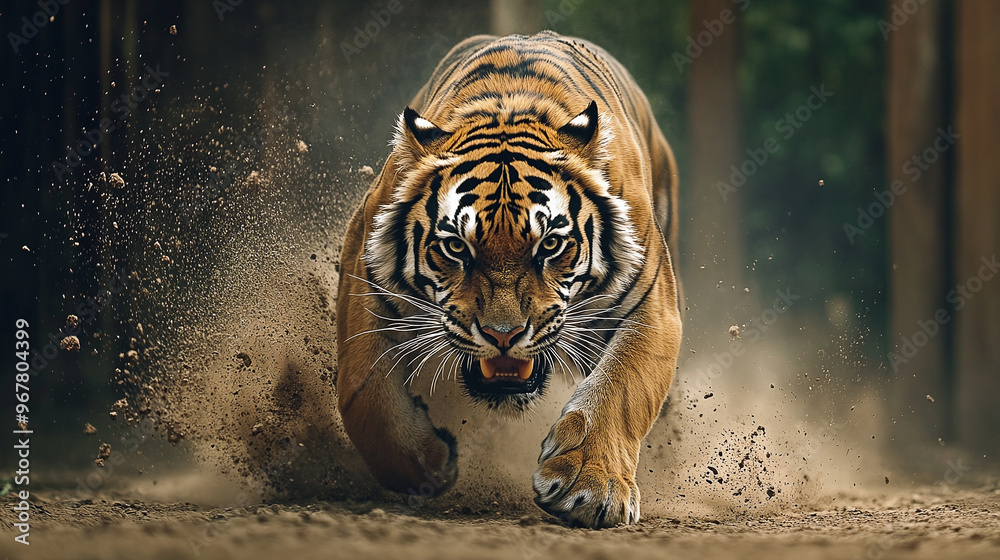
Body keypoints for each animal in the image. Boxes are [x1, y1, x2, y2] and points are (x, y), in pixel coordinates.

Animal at [336, 31, 682, 528]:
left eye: (550, 245)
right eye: (456, 248)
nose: (504, 336)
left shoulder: (652, 304)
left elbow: (622, 387)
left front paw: (589, 487)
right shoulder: (364, 276)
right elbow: (364, 394)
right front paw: (430, 465)